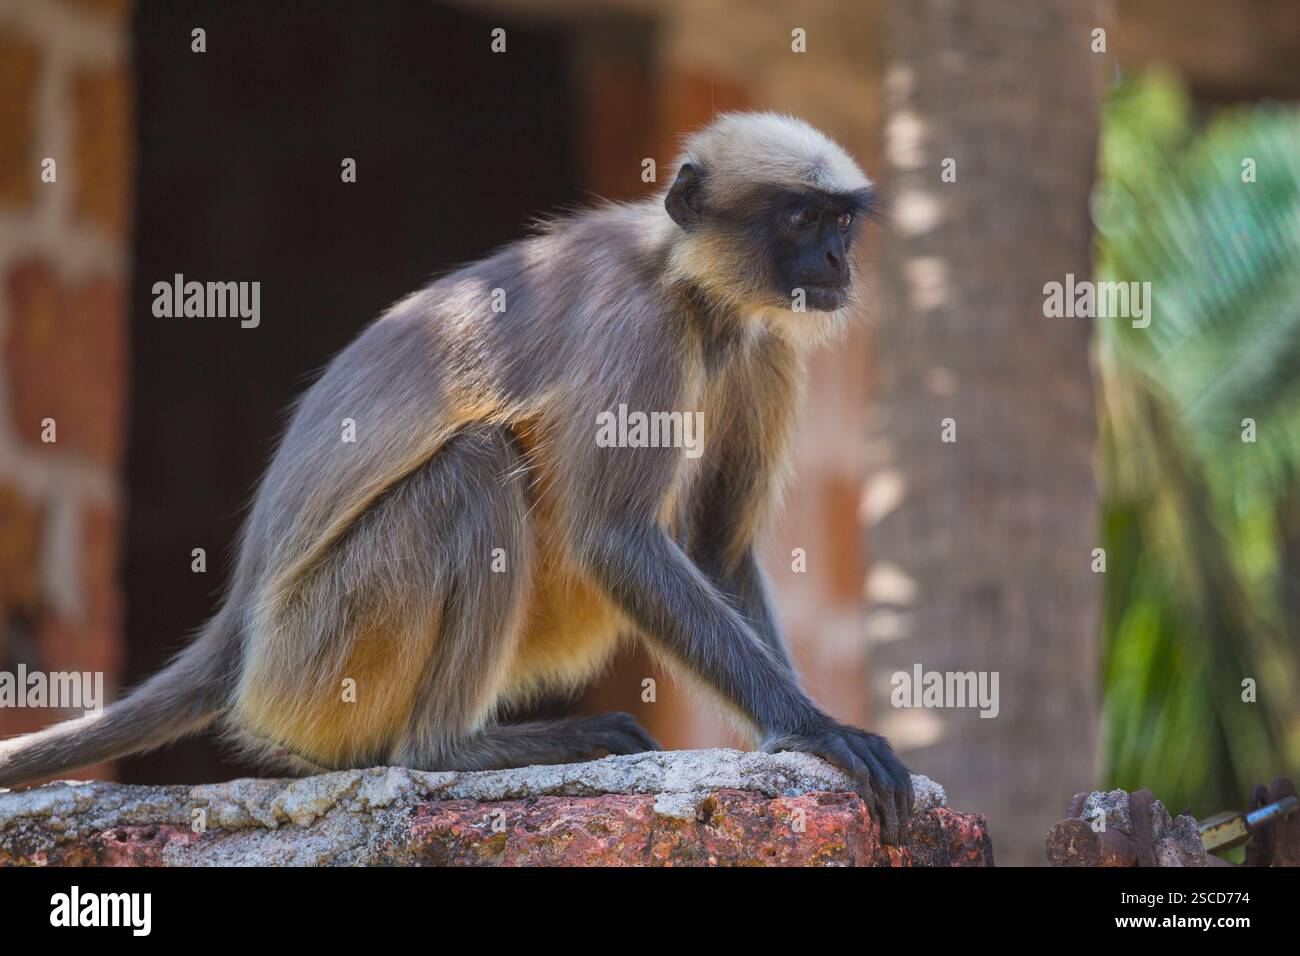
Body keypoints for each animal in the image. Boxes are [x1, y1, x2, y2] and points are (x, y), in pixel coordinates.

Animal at [0, 112, 914, 843]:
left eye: (840, 220)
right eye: (799, 217)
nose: (836, 258)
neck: (690, 285)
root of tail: (241, 632)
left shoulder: (766, 342)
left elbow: (718, 548)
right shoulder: (640, 323)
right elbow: (613, 538)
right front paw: (812, 726)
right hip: (320, 650)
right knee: (477, 465)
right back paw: (453, 749)